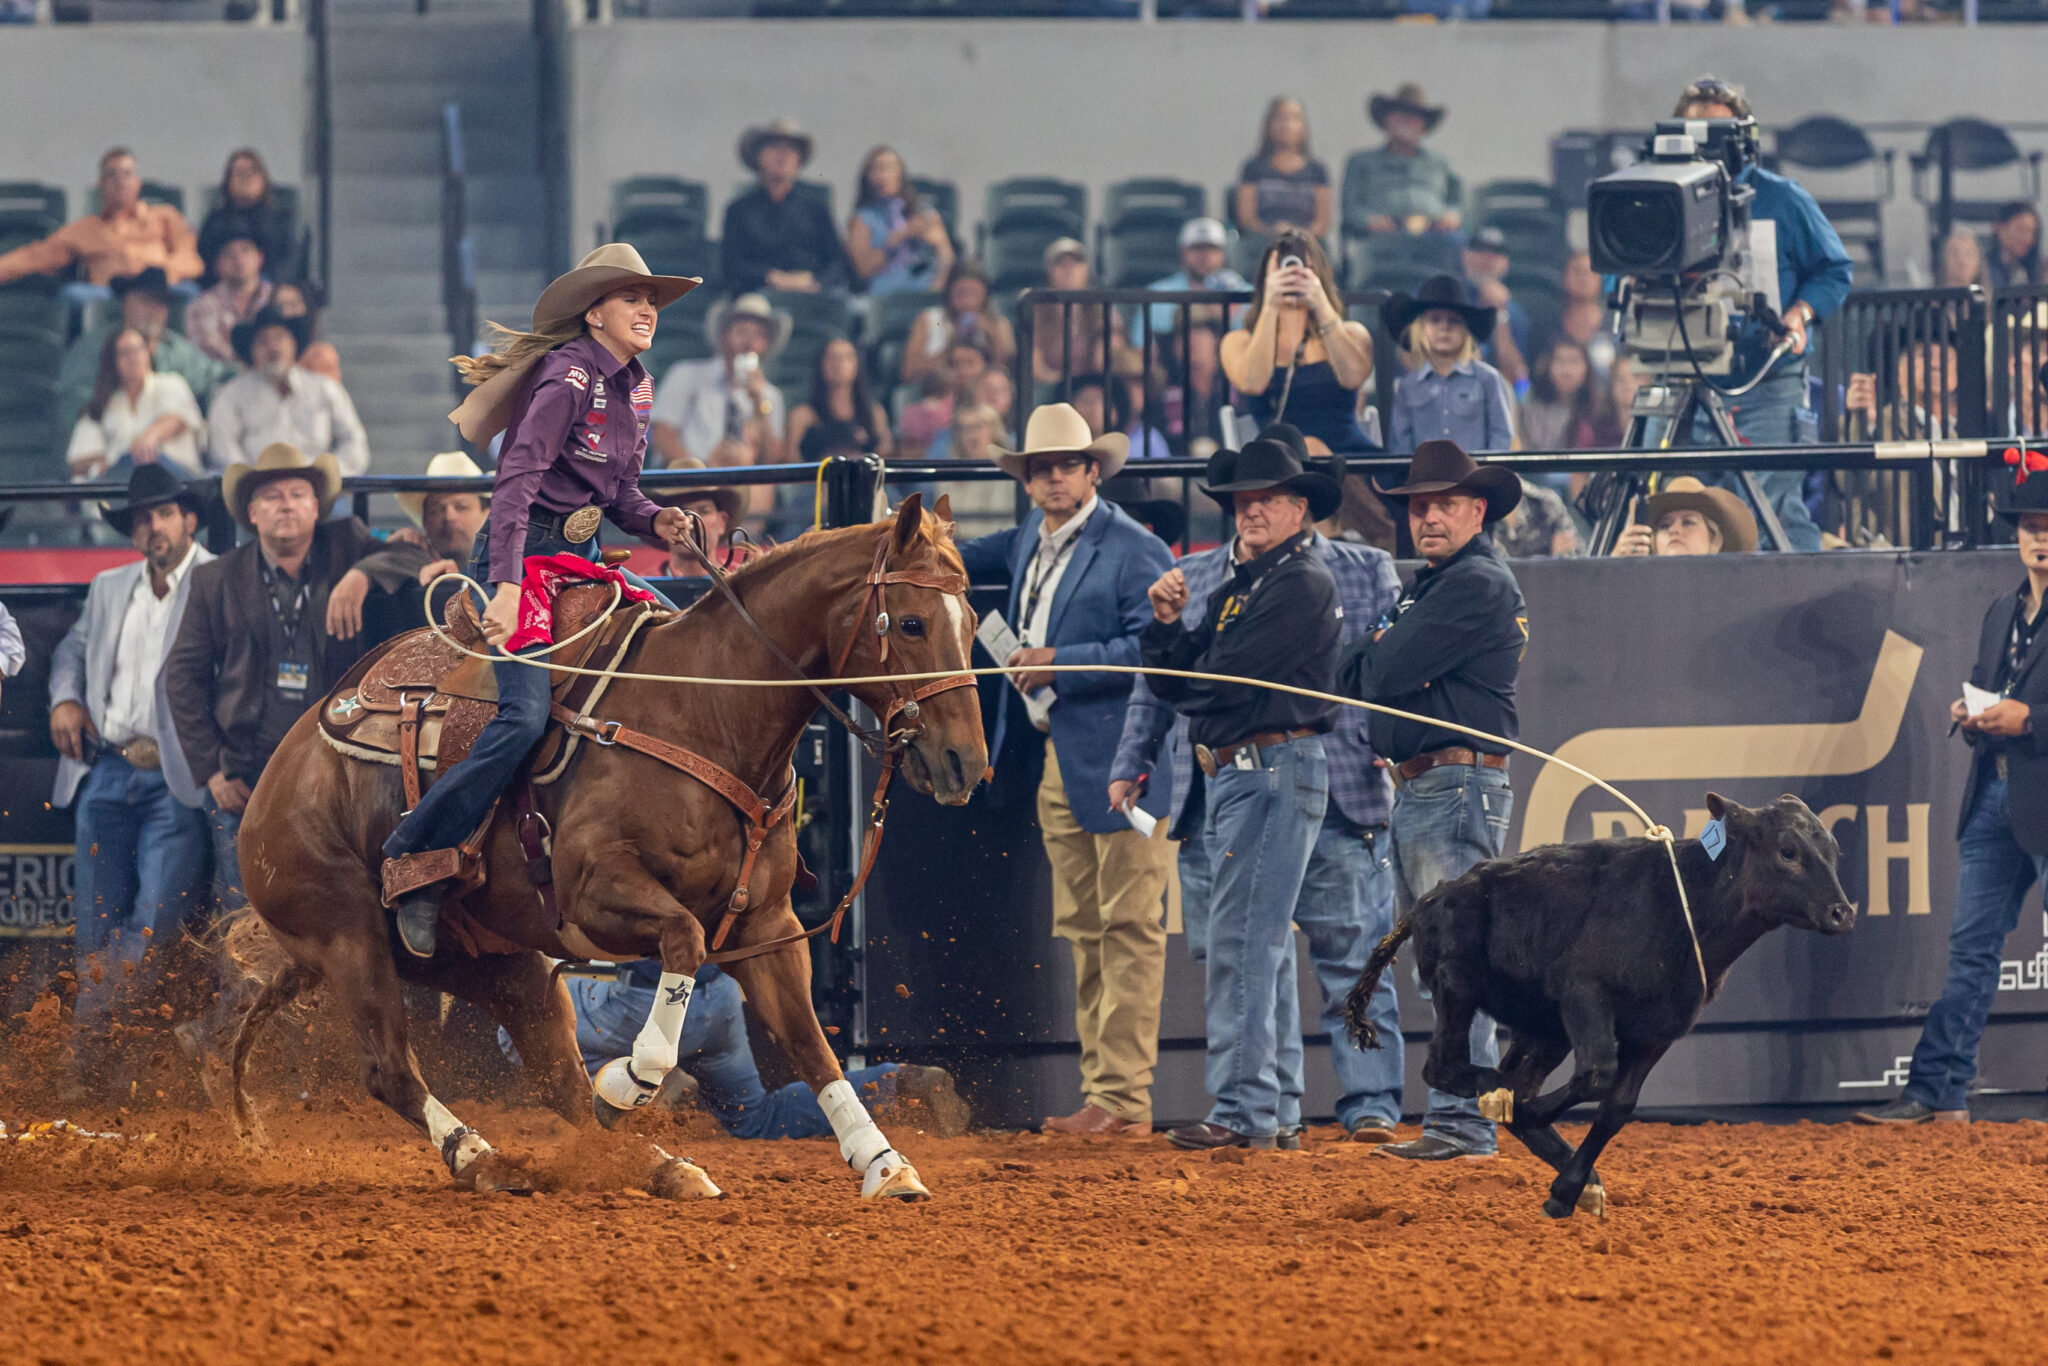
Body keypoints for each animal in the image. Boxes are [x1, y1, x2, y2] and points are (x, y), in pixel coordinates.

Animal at [227, 495, 986, 1200]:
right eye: (912, 623)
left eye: (972, 623)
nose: (967, 763)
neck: (706, 714)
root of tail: (273, 782)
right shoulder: (597, 893)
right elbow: (684, 943)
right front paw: (632, 1081)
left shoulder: (768, 926)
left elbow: (811, 1045)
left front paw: (884, 1163)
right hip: (348, 938)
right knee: (390, 1069)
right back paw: (482, 1158)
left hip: (500, 965)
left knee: (556, 1080)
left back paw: (659, 1167)